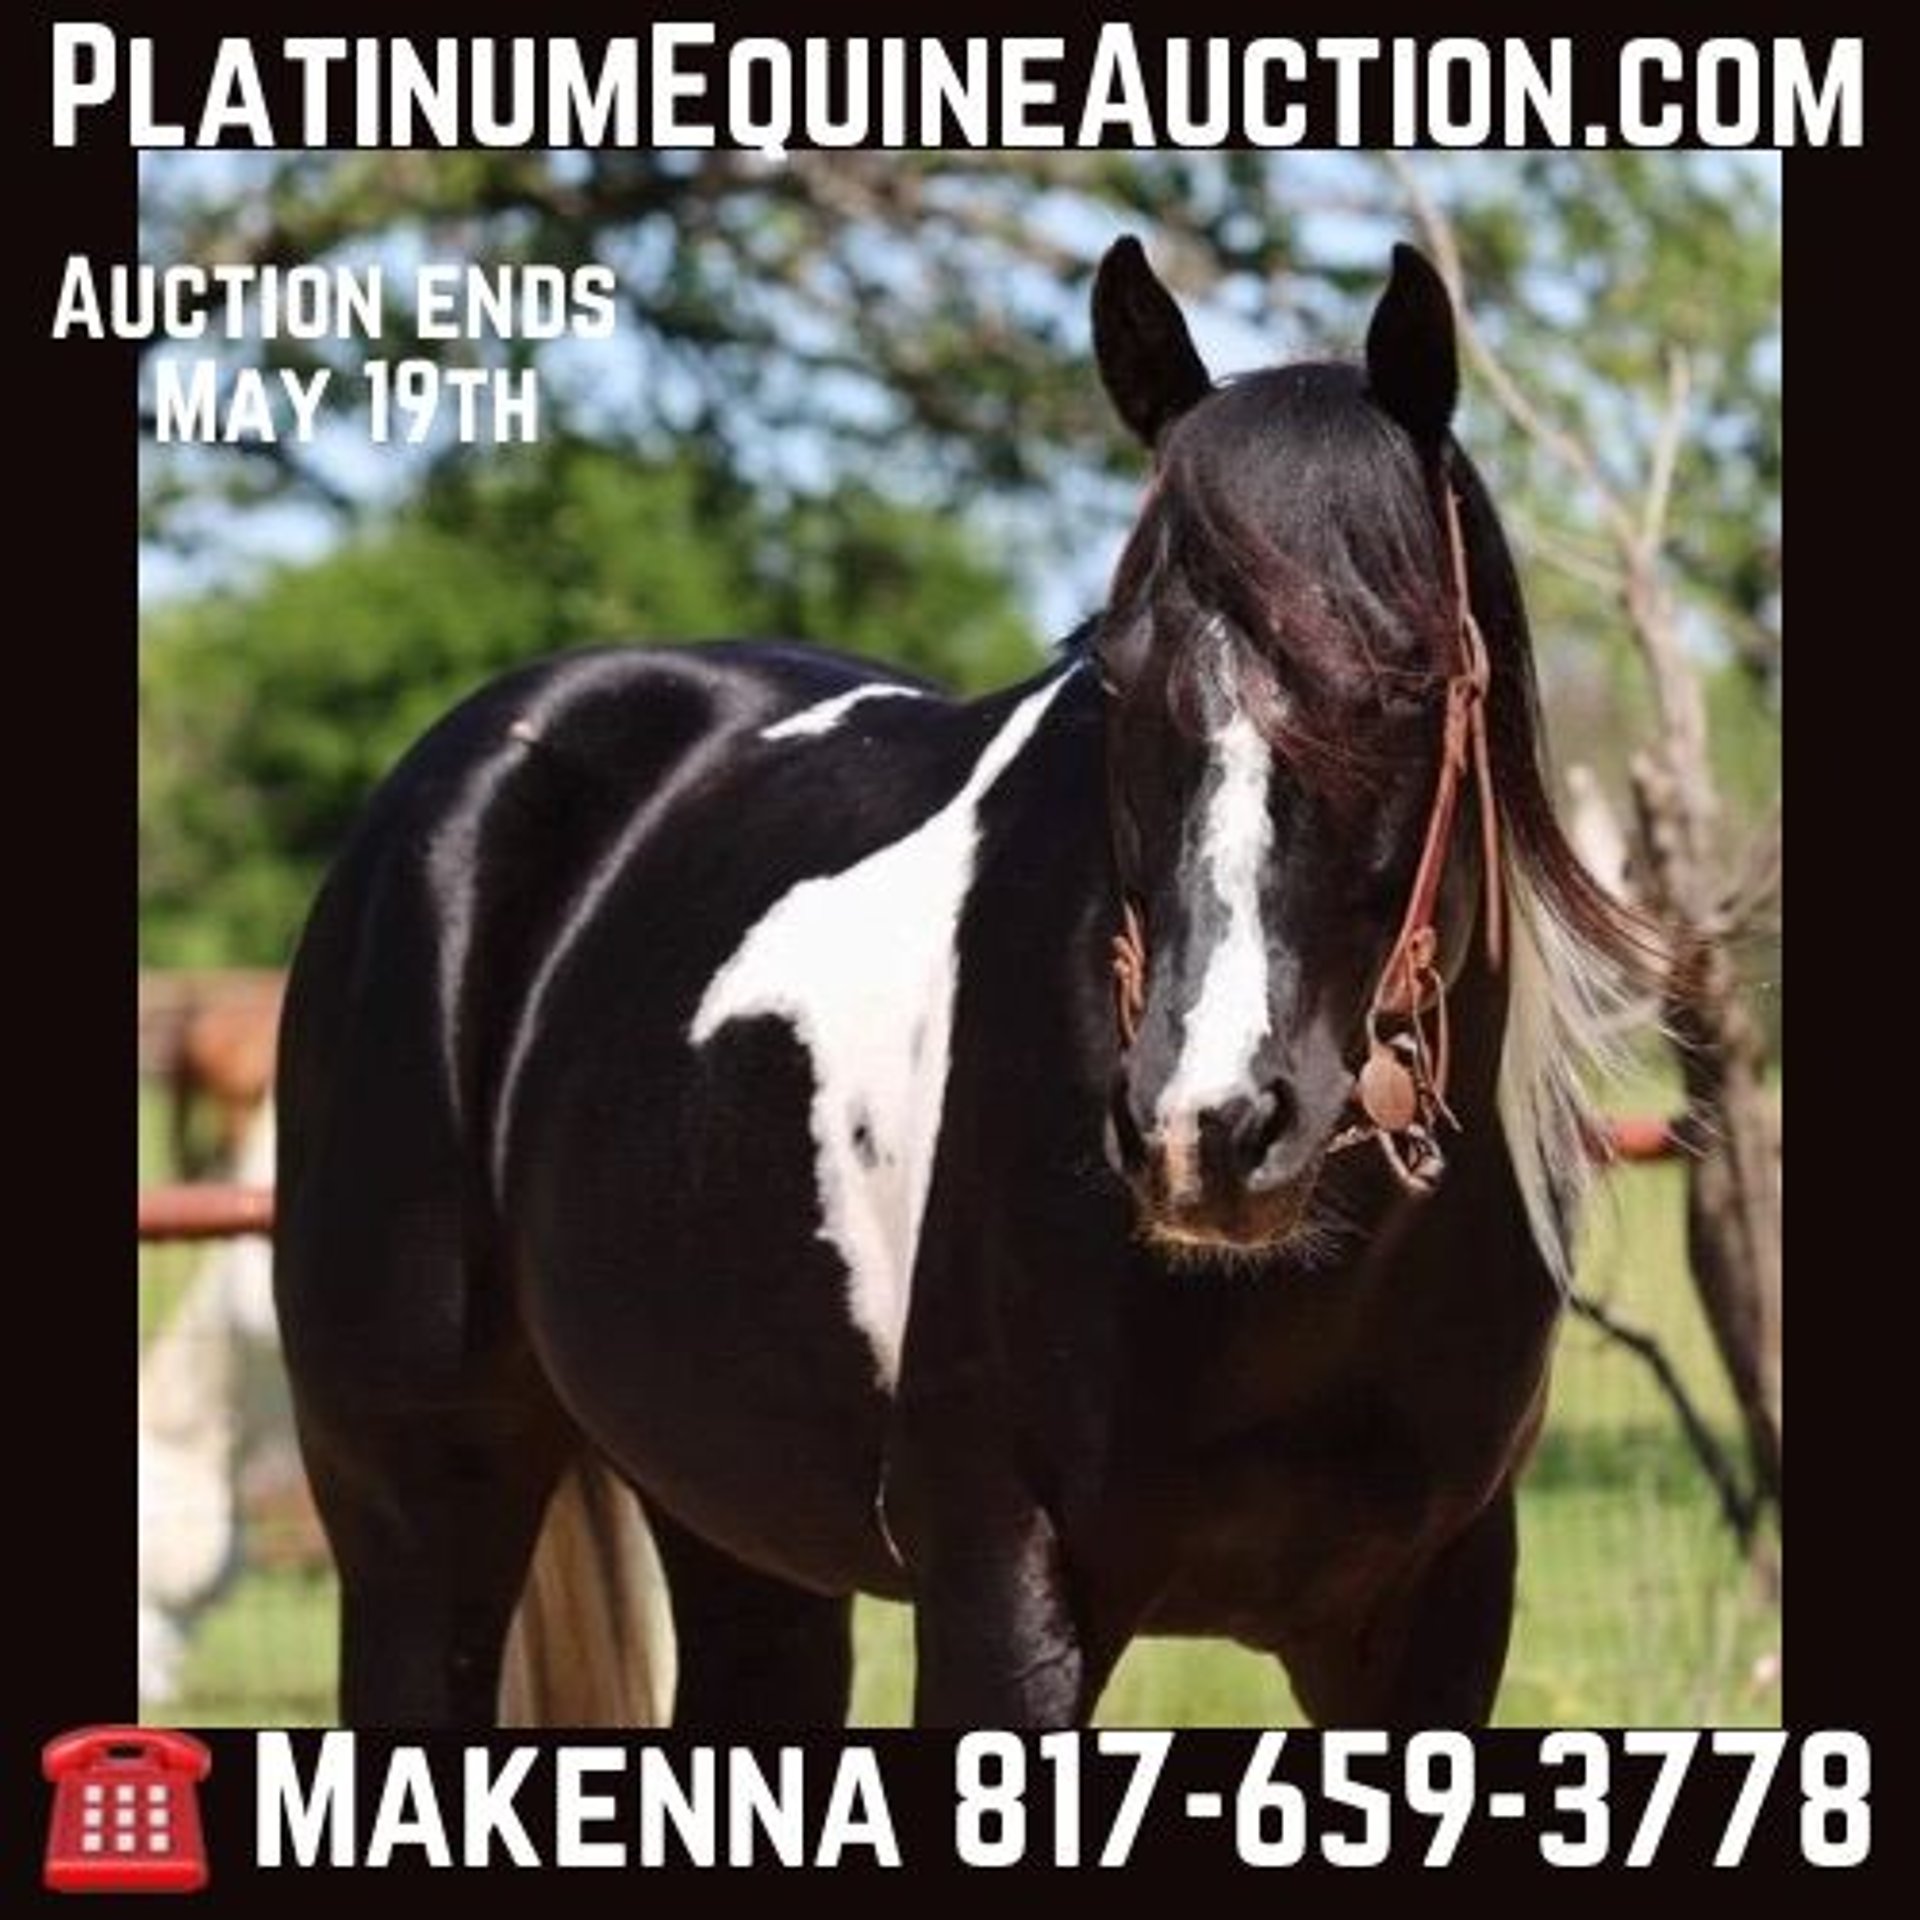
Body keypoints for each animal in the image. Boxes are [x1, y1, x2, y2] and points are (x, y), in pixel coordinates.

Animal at [274, 238, 1641, 1729]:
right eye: (1115, 674)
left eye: (1406, 677)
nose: (1205, 1130)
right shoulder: (1001, 1585)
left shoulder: (1435, 1614)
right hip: (419, 1528)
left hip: (737, 1530)